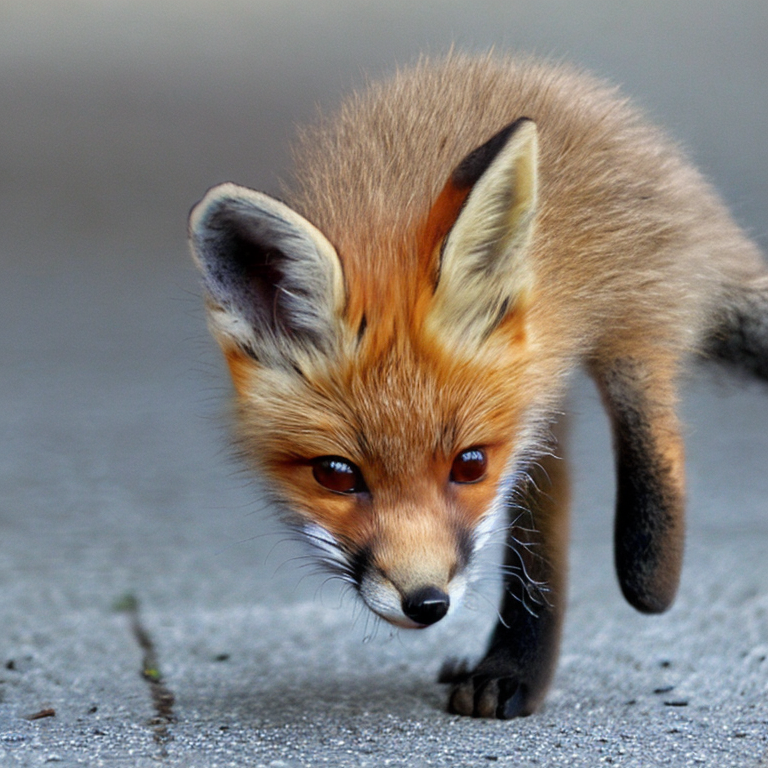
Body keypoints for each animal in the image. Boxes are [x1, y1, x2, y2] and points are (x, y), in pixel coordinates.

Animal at [188, 52, 768, 719]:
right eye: (335, 475)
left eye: (468, 465)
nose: (426, 603)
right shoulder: (529, 419)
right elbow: (537, 535)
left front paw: (646, 572)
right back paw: (514, 666)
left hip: (636, 314)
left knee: (648, 425)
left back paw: (643, 573)